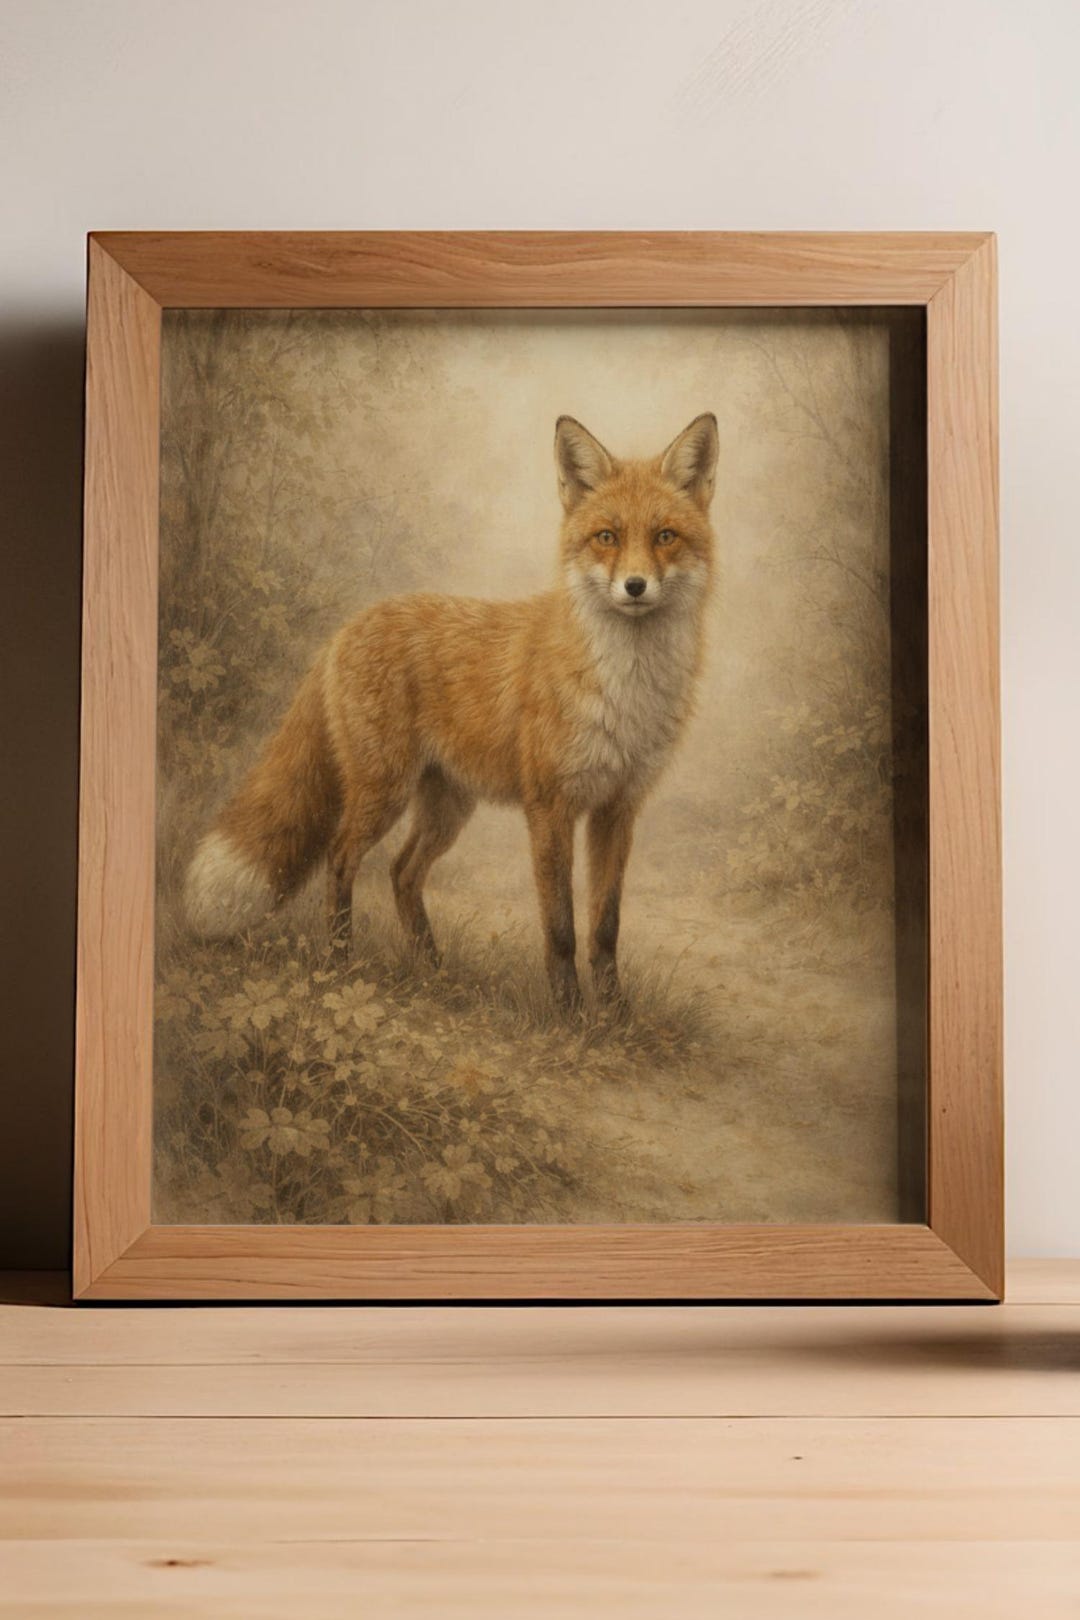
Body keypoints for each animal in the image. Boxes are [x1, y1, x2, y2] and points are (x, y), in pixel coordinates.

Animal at [185, 412, 718, 1009]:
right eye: (608, 537)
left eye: (665, 536)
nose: (635, 586)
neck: (625, 689)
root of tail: (347, 627)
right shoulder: (550, 806)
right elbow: (560, 924)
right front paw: (568, 1011)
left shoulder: (617, 808)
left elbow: (606, 925)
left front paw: (615, 1014)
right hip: (384, 790)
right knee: (341, 858)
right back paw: (340, 963)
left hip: (448, 806)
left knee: (402, 872)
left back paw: (433, 971)